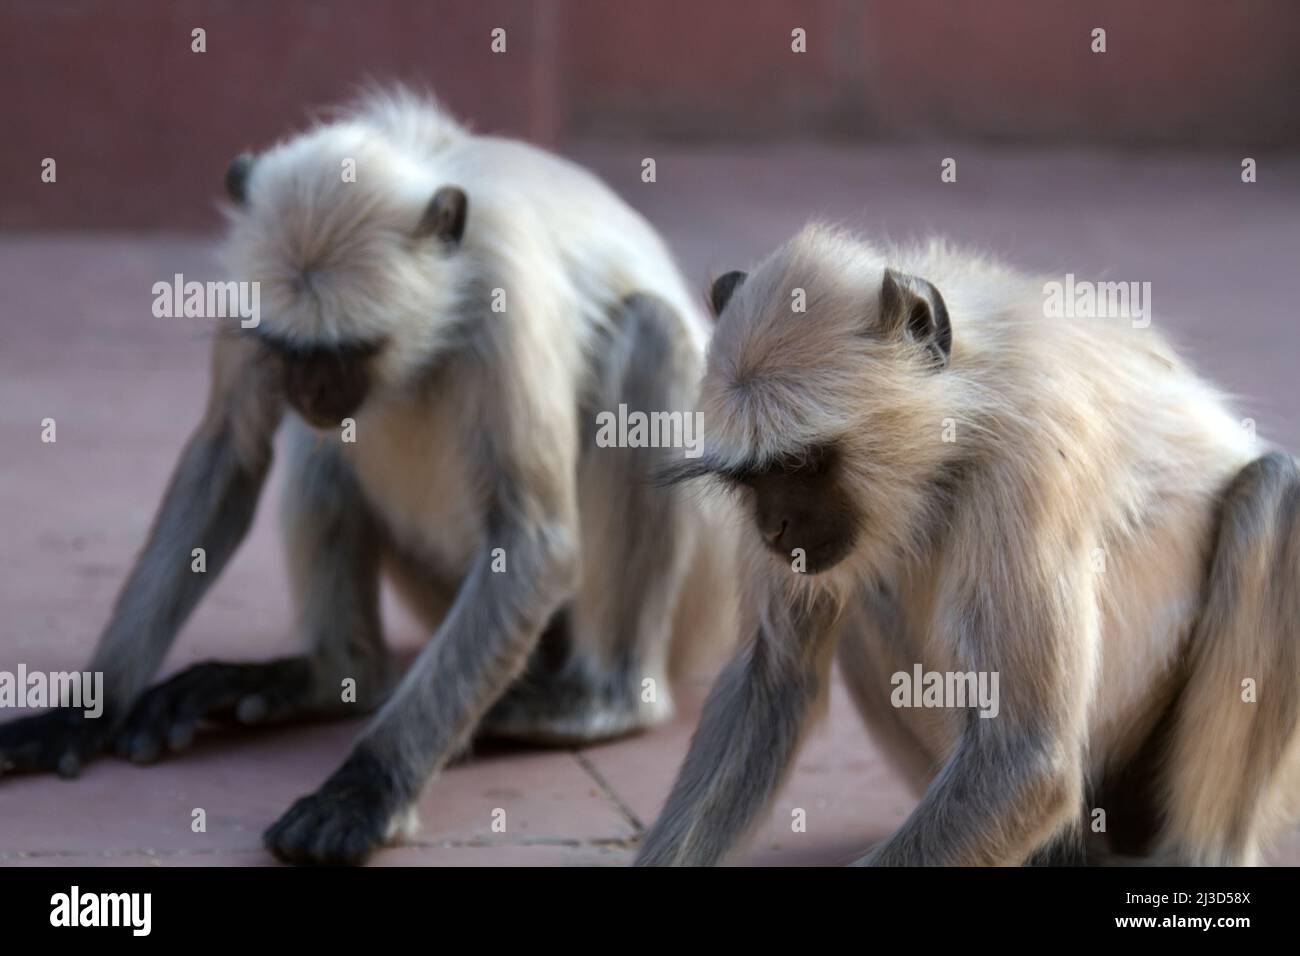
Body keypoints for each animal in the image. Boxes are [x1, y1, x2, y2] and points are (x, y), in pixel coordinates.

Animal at [0, 88, 737, 865]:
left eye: (353, 350)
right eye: (288, 350)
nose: (313, 395)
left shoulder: (500, 286)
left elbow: (534, 540)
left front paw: (368, 788)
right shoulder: (250, 296)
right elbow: (227, 457)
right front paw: (86, 712)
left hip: (701, 595)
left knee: (649, 328)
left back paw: (605, 701)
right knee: (323, 447)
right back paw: (330, 679)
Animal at [636, 223, 1300, 866]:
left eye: (803, 464)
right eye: (753, 477)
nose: (772, 527)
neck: (962, 411)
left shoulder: (1030, 456)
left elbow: (1023, 761)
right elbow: (771, 680)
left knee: (1276, 488)